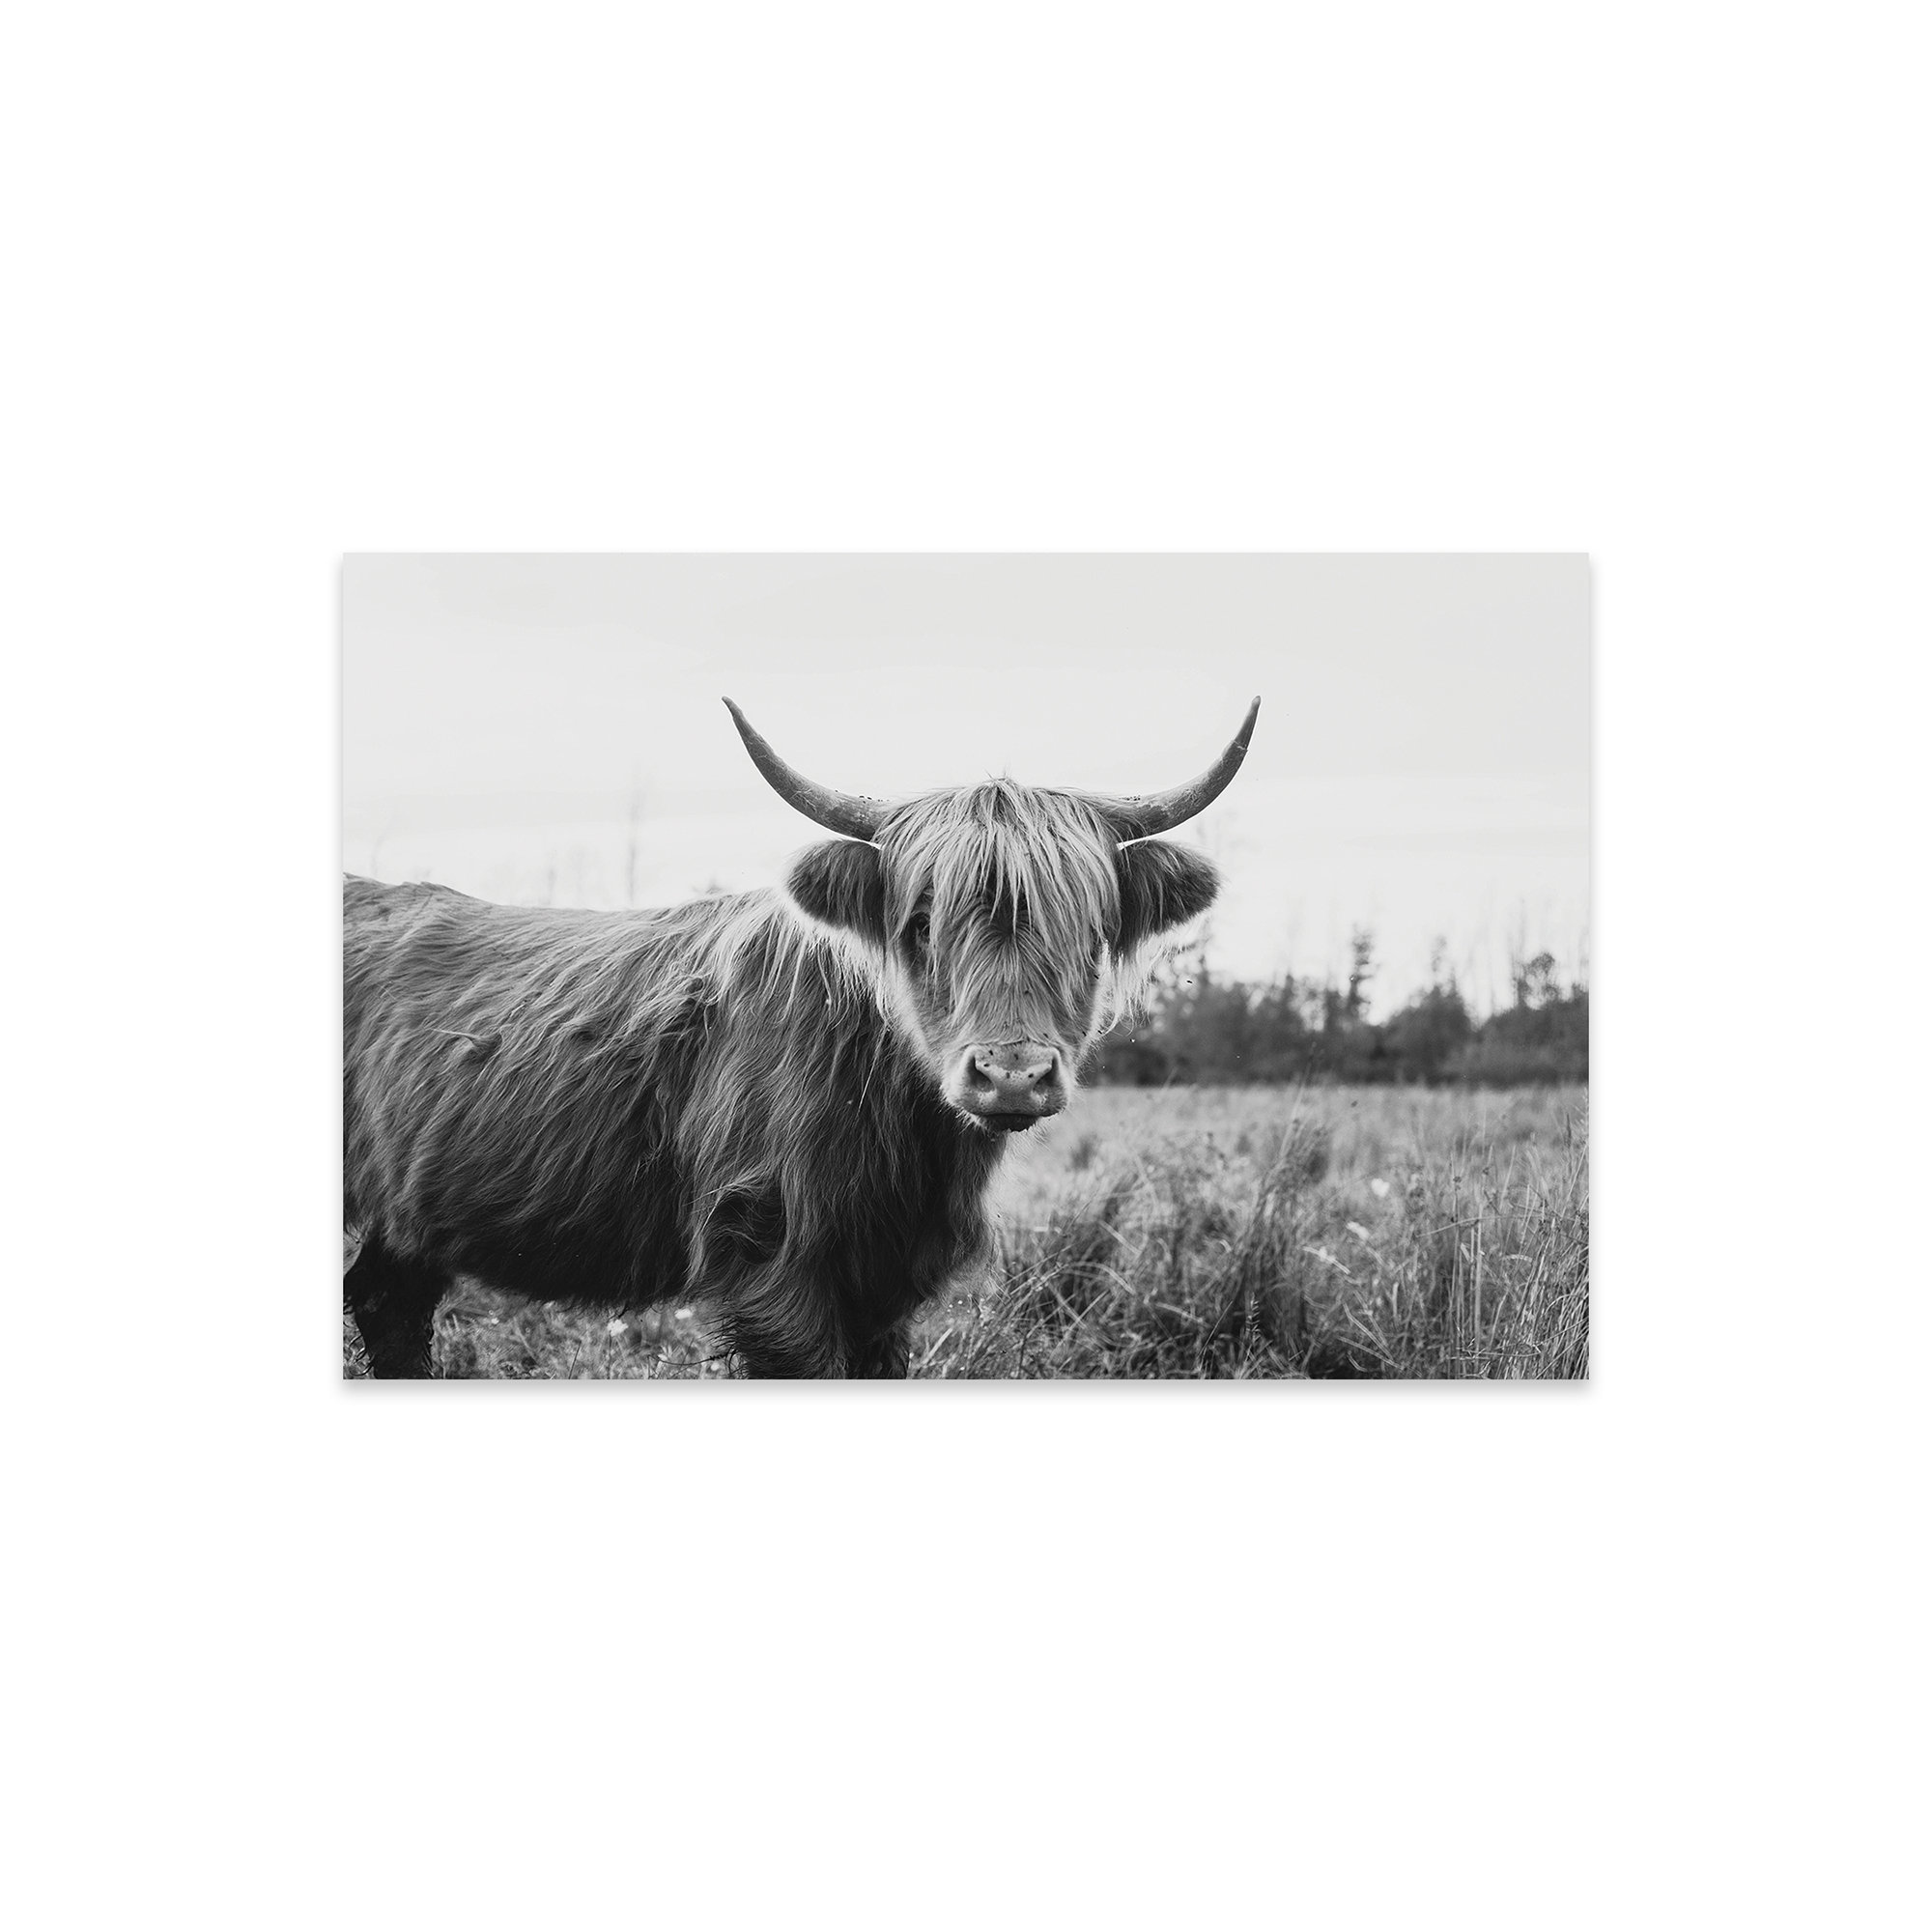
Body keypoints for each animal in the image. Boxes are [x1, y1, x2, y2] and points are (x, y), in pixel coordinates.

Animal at [343, 696, 1260, 1378]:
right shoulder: (768, 1257)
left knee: (389, 1302)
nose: (1010, 1075)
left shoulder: (888, 1283)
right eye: (919, 924)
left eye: (1095, 930)